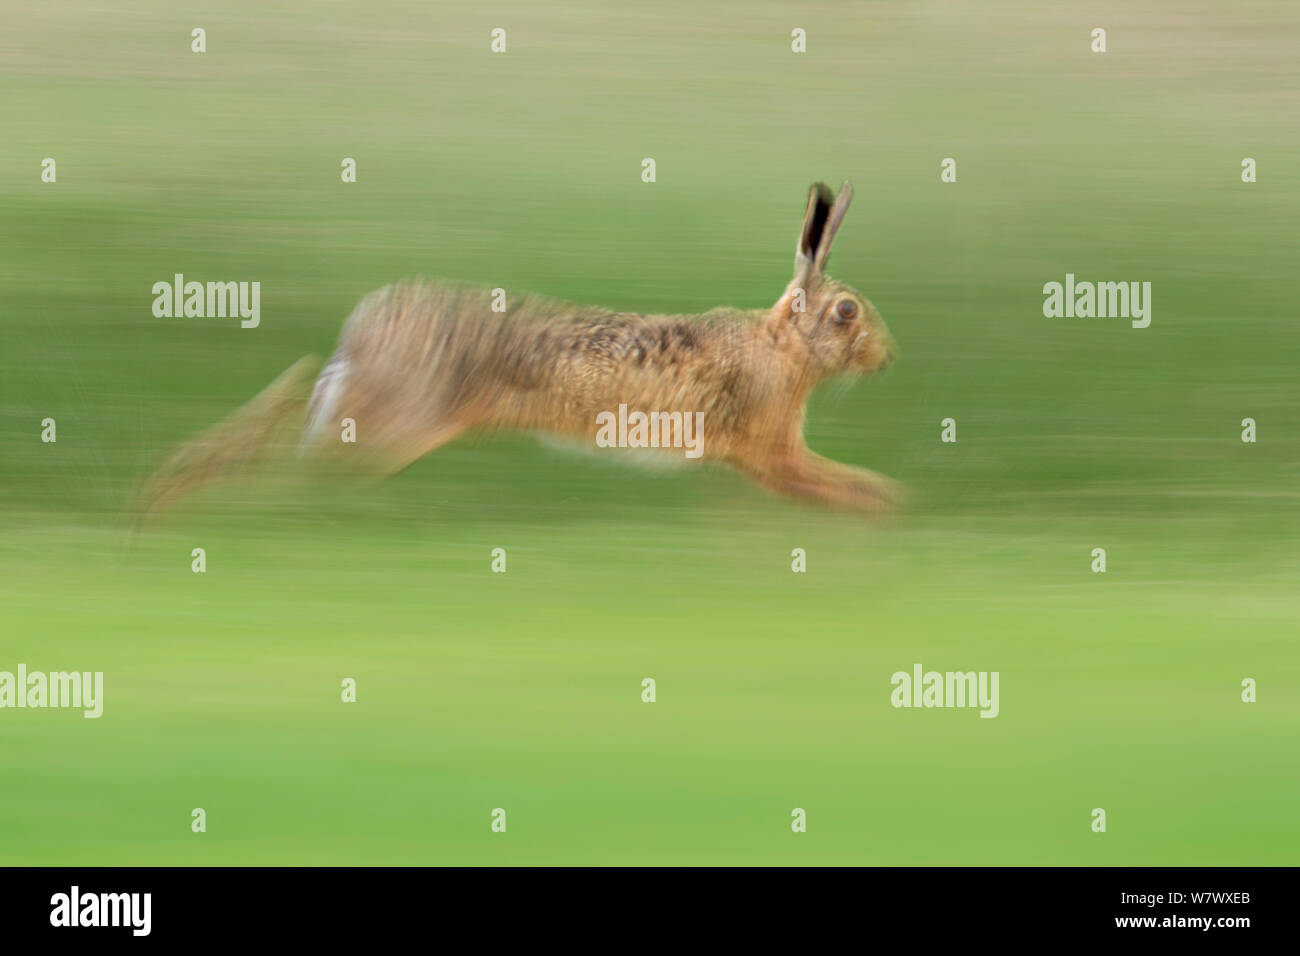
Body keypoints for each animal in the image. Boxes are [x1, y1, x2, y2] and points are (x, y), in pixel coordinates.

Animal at [138, 181, 900, 518]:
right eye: (846, 313)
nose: (887, 358)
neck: (782, 347)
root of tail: (362, 330)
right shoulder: (771, 451)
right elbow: (830, 484)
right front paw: (887, 506)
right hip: (392, 426)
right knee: (292, 446)